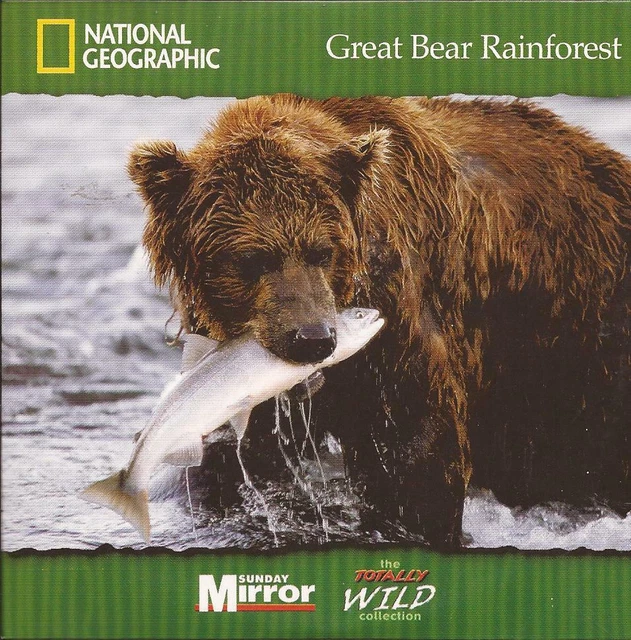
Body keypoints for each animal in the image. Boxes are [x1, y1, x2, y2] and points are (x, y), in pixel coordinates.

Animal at [128, 94, 631, 548]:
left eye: (321, 251)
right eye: (251, 259)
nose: (312, 338)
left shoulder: (401, 324)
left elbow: (415, 456)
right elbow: (231, 455)